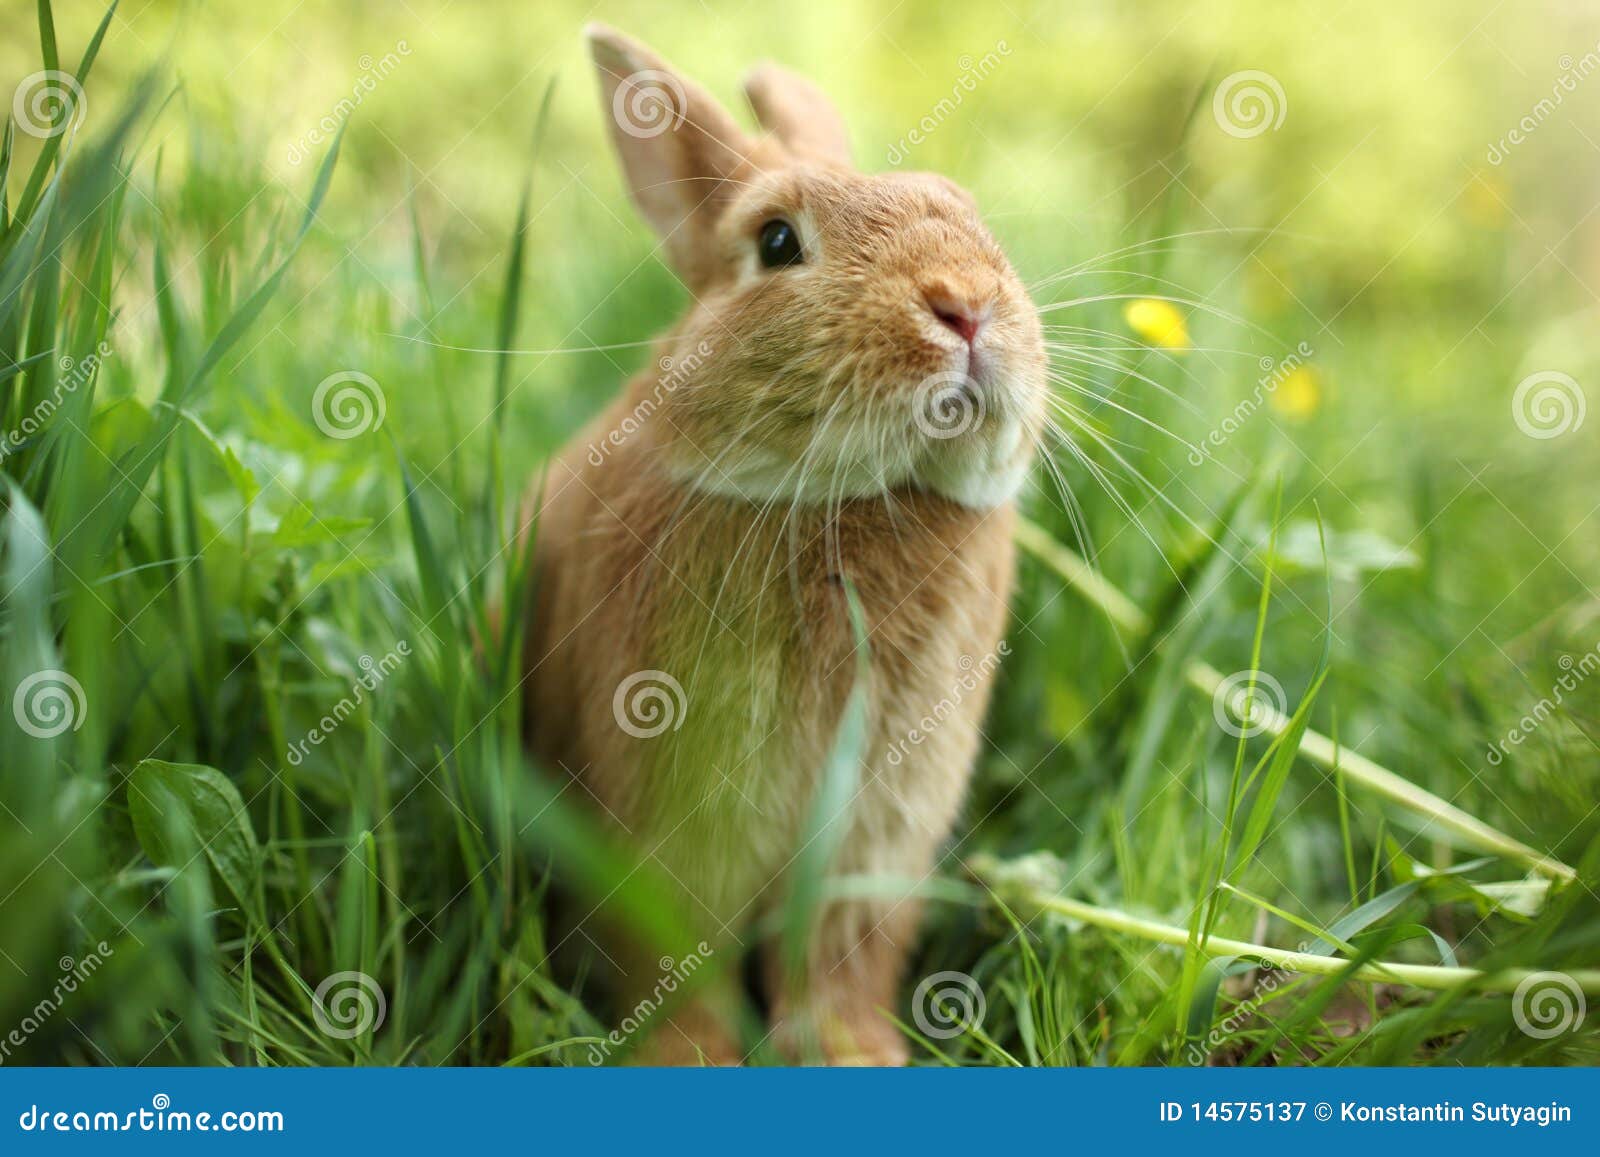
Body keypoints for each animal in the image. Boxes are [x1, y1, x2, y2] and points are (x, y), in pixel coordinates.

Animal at [522, 24, 1046, 1066]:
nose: (966, 306)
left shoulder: (879, 836)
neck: (850, 503)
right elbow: (672, 957)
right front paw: (687, 1060)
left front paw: (857, 1053)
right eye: (774, 241)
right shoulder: (666, 826)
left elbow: (841, 958)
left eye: (970, 215)